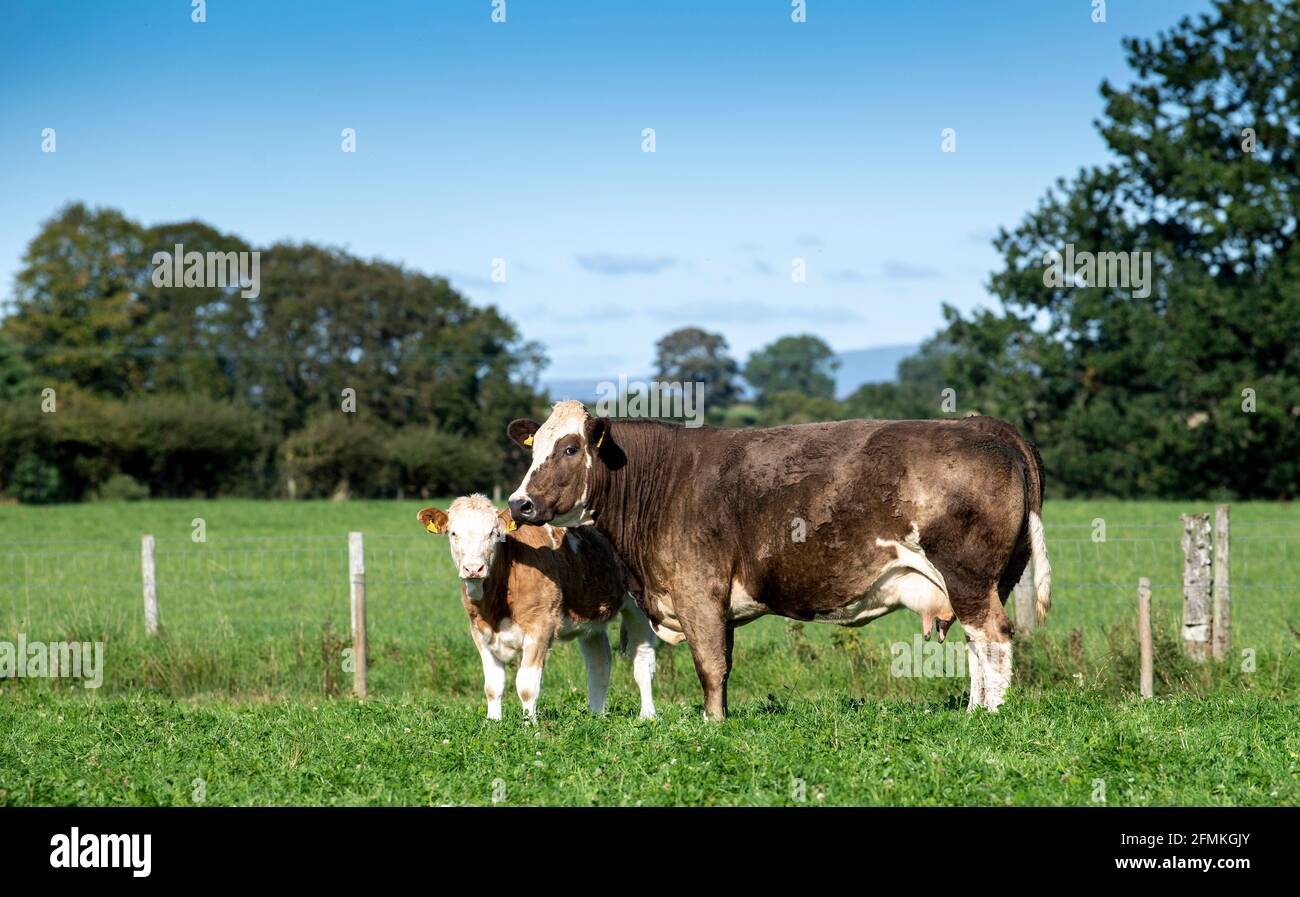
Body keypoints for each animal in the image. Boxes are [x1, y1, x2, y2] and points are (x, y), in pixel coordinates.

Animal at [418, 494, 657, 721]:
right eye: (453, 533)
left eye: (493, 533)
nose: (474, 569)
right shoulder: (479, 631)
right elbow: (493, 686)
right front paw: (494, 722)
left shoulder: (541, 626)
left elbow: (526, 686)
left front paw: (529, 727)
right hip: (591, 615)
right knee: (599, 663)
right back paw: (596, 715)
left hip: (639, 608)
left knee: (643, 663)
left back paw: (647, 716)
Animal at [506, 400, 1051, 721]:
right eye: (535, 449)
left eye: (570, 448)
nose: (519, 504)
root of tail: (984, 424)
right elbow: (722, 665)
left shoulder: (697, 590)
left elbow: (710, 666)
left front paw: (713, 726)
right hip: (985, 581)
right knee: (977, 643)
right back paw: (974, 711)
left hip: (968, 573)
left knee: (993, 637)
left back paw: (989, 719)